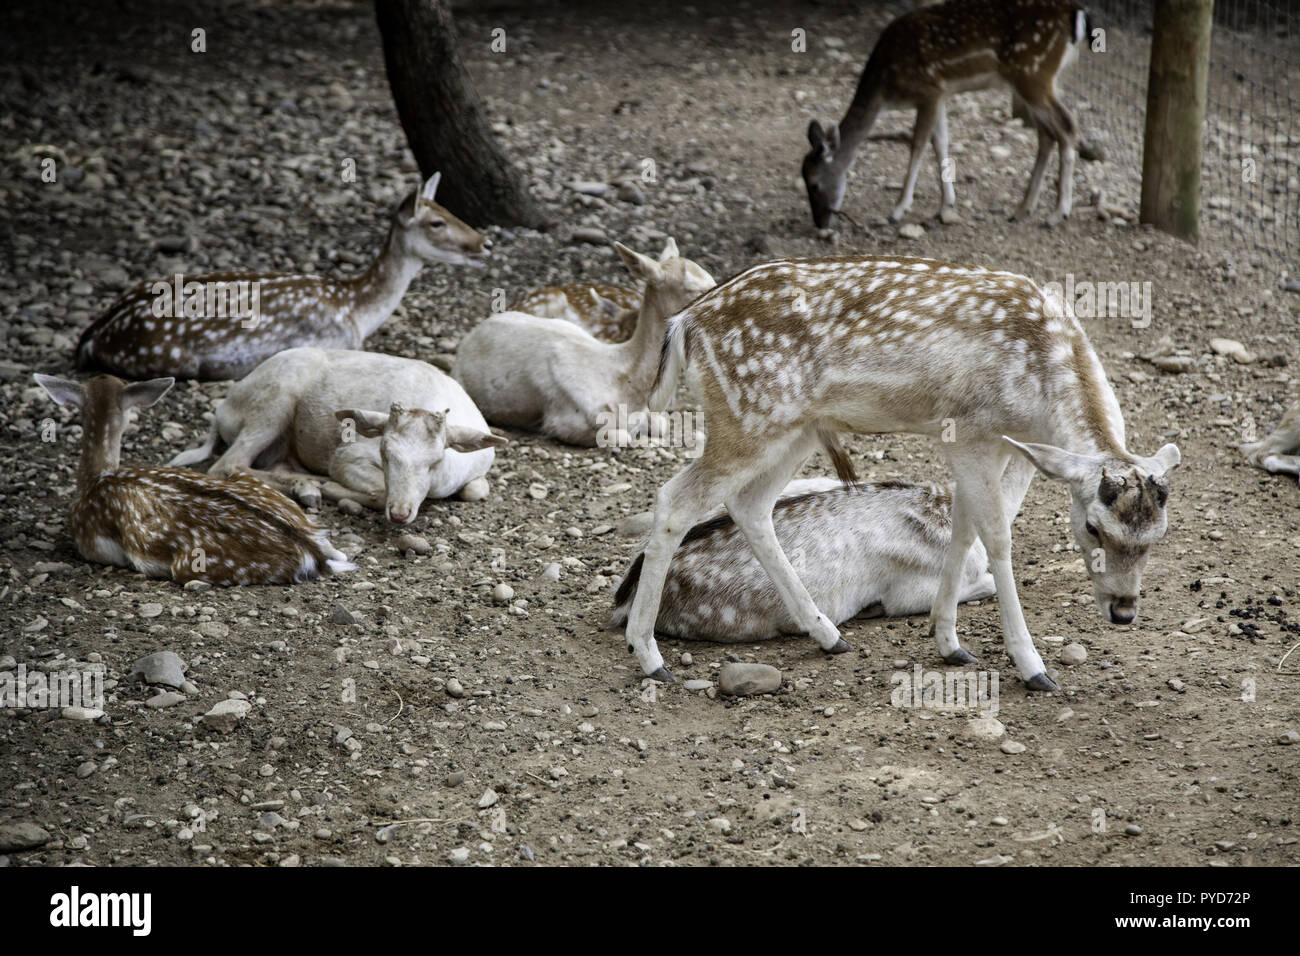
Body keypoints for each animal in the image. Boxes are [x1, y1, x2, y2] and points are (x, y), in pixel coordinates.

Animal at [33, 373, 354, 585]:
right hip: (288, 508)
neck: (96, 476)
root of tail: (310, 551)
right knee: (340, 551)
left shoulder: (92, 544)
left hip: (199, 563)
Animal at [74, 172, 488, 381]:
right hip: (165, 356)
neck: (355, 309)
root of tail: (93, 336)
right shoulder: (336, 341)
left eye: (450, 210)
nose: (484, 243)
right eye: (436, 223)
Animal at [169, 348, 507, 526]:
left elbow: (477, 489)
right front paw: (333, 487)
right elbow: (375, 488)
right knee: (227, 464)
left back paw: (304, 485)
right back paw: (310, 489)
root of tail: (223, 410)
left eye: (435, 461)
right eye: (385, 453)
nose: (399, 513)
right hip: (272, 404)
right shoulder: (348, 456)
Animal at [801, 0, 1088, 230]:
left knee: (1067, 126)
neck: (886, 86)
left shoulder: (928, 90)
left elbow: (918, 144)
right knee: (1047, 134)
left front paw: (898, 209)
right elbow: (940, 142)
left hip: (1032, 74)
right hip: (1038, 80)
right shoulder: (940, 95)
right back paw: (1022, 209)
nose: (820, 223)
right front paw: (946, 205)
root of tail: (1075, 13)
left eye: (814, 184)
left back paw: (1057, 213)